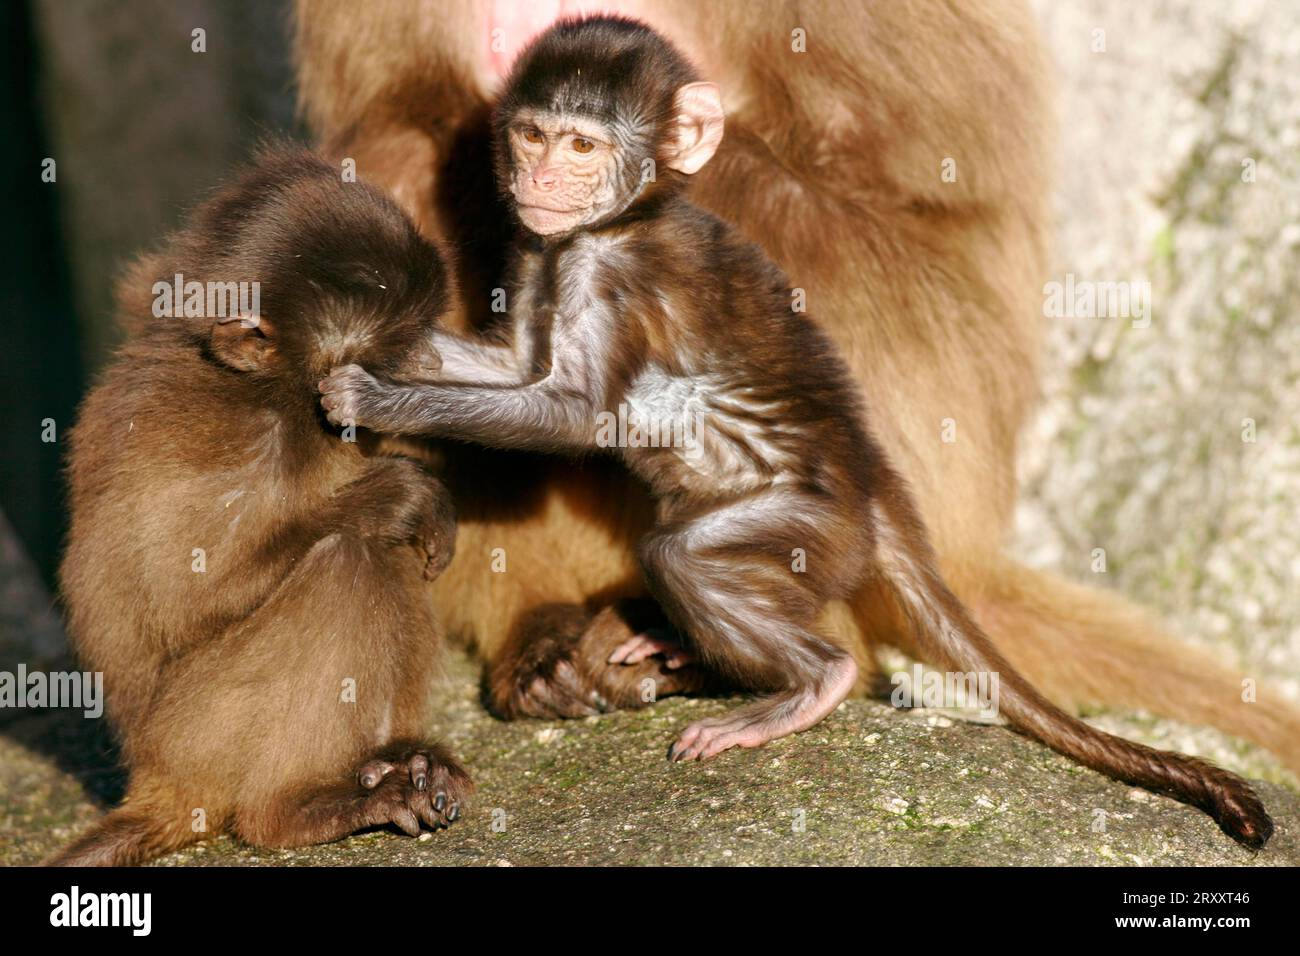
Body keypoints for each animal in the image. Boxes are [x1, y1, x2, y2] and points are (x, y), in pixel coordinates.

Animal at [49, 147, 471, 866]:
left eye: (420, 336)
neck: (280, 397)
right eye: (391, 352)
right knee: (346, 561)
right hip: (195, 736)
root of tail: (155, 778)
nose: (428, 366)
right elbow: (186, 598)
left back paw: (394, 761)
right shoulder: (243, 439)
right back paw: (291, 811)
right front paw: (395, 492)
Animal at [318, 16, 1273, 847]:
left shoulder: (607, 268)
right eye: (532, 135)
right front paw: (368, 343)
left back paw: (813, 682)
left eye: (582, 147)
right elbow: (516, 363)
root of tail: (877, 490)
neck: (623, 218)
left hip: (817, 527)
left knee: (686, 557)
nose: (541, 182)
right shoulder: (539, 248)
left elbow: (574, 410)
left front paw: (377, 397)